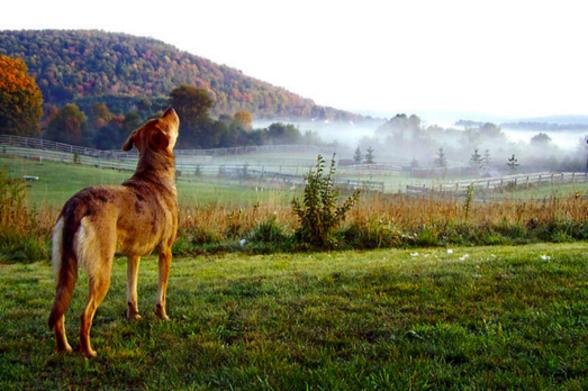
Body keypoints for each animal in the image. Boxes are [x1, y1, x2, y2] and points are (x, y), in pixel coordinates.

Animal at [48, 108, 179, 358]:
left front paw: (134, 317)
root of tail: (78, 202)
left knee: (60, 312)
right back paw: (88, 352)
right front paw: (163, 317)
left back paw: (64, 348)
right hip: (102, 273)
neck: (154, 174)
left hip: (64, 271)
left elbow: (132, 291)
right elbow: (162, 293)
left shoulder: (133, 255)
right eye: (163, 120)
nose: (170, 108)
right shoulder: (166, 251)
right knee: (85, 315)